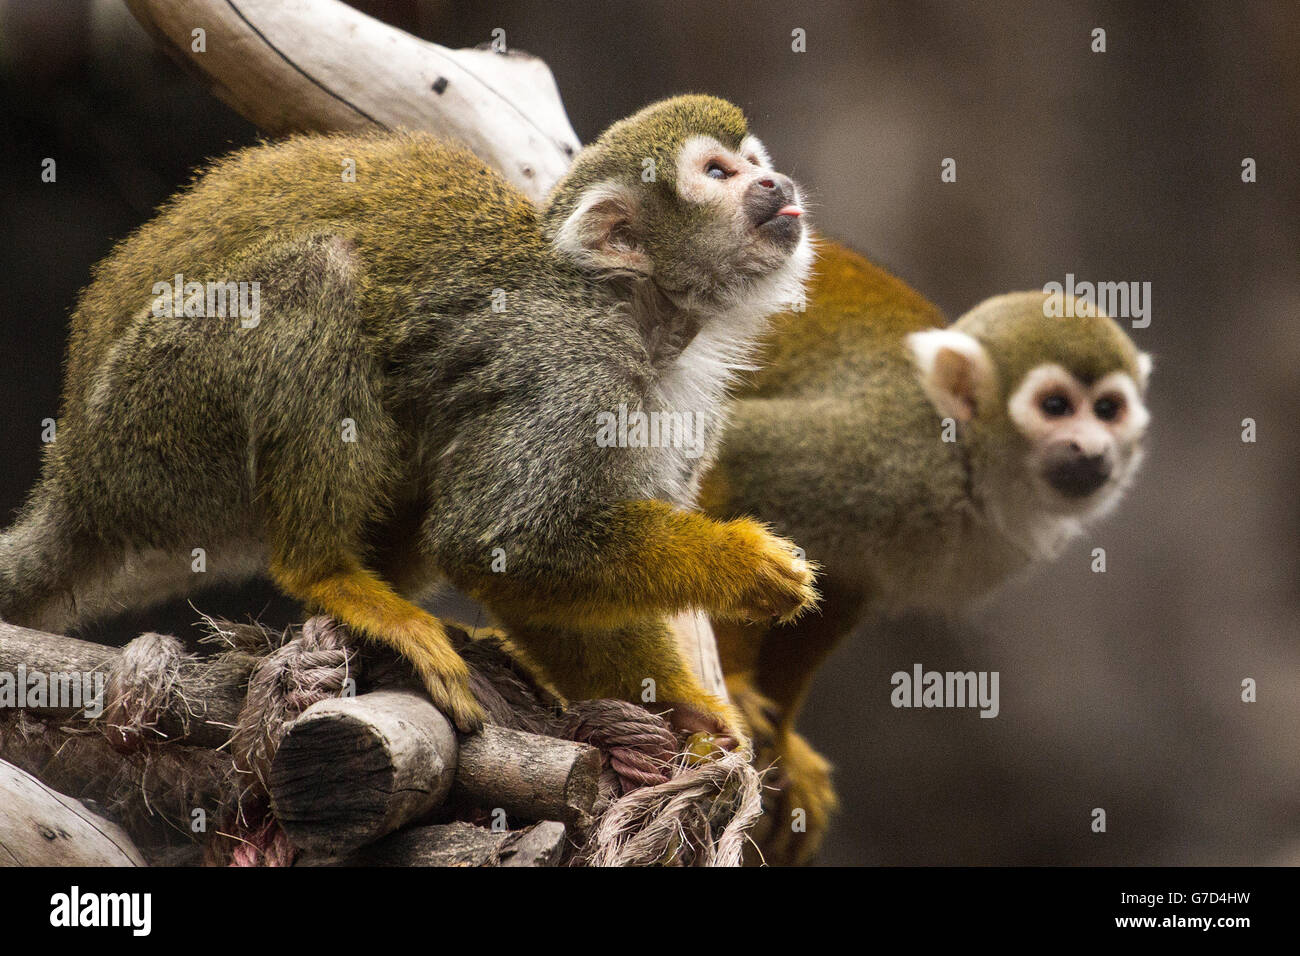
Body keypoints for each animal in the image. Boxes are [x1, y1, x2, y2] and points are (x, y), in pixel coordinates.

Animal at [0, 95, 818, 739]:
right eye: (719, 174)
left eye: (752, 161)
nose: (774, 181)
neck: (638, 315)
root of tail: (75, 476)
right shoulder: (564, 366)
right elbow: (497, 537)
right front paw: (739, 563)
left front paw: (679, 706)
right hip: (156, 428)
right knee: (316, 275)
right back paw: (331, 575)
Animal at [699, 240, 1153, 861]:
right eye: (1057, 406)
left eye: (1108, 410)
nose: (1092, 449)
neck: (967, 466)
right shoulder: (890, 456)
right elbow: (731, 452)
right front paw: (739, 691)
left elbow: (839, 589)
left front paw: (784, 747)